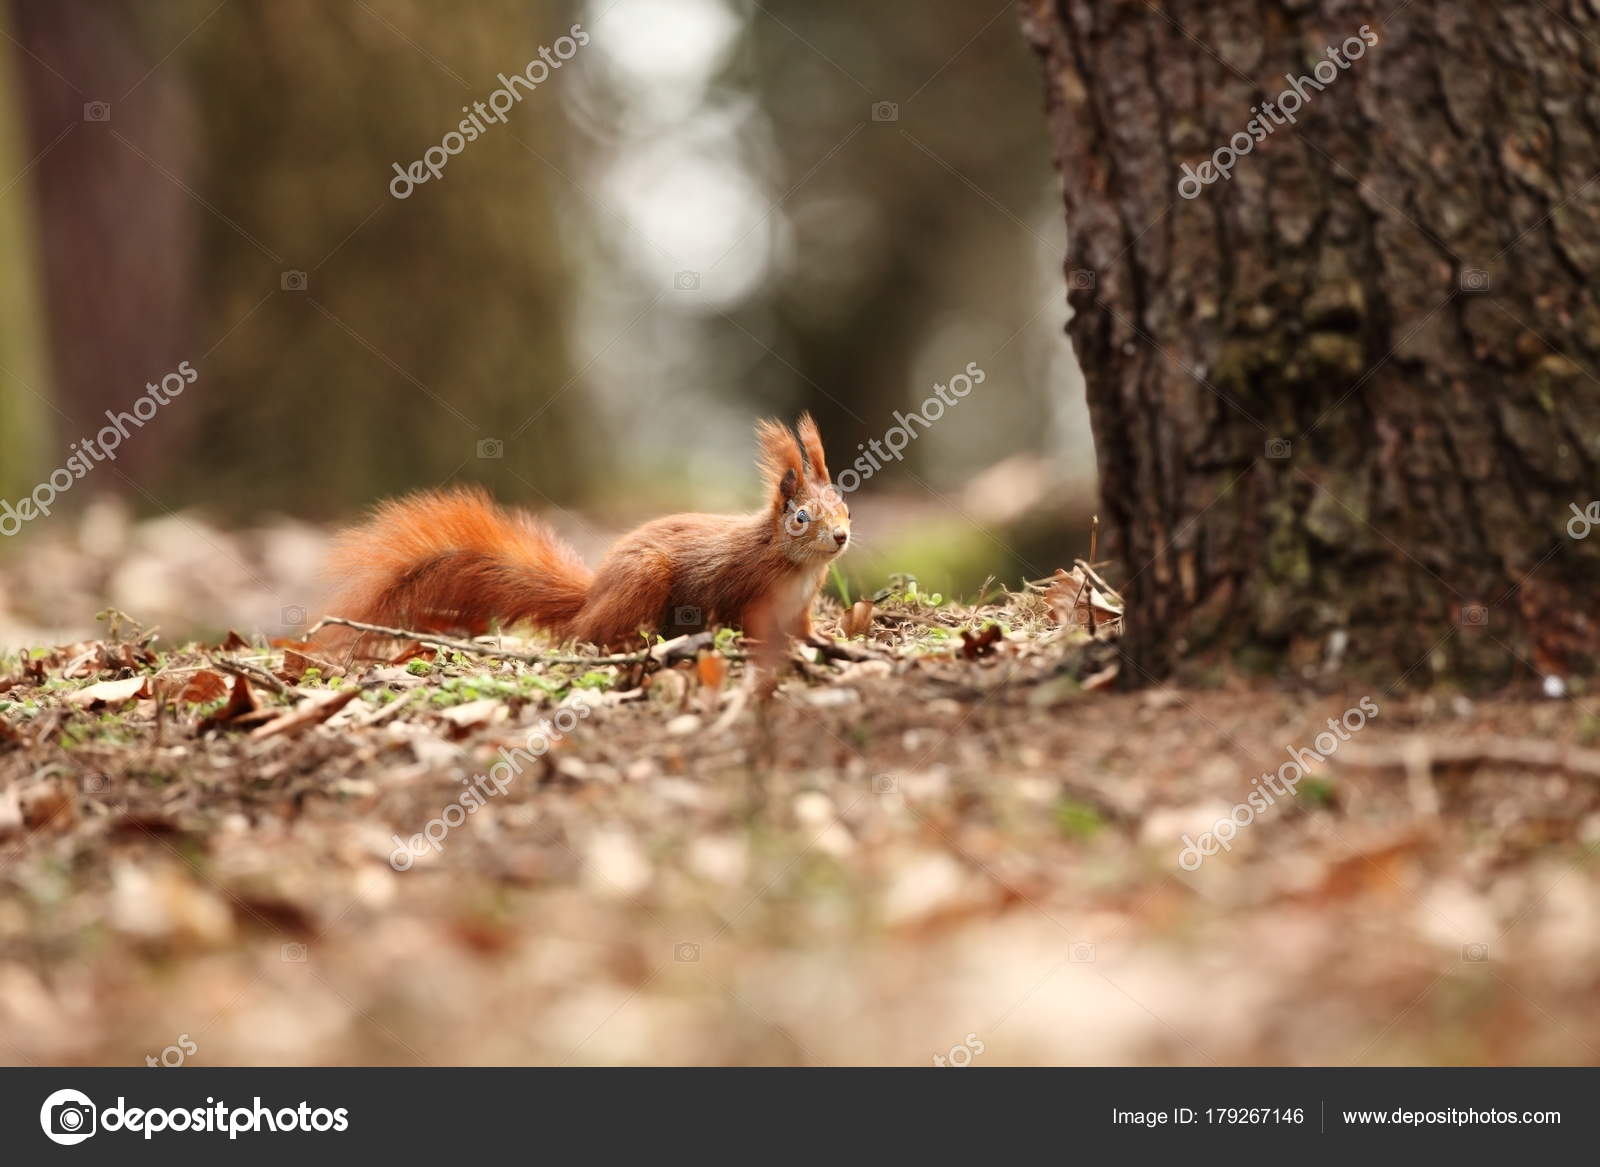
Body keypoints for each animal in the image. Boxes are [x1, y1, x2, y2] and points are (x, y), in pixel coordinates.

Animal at [319, 414, 851, 656]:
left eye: (846, 506)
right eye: (800, 518)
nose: (842, 537)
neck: (792, 563)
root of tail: (591, 598)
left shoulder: (799, 604)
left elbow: (804, 628)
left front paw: (829, 639)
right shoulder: (740, 588)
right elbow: (744, 620)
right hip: (642, 579)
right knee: (588, 635)